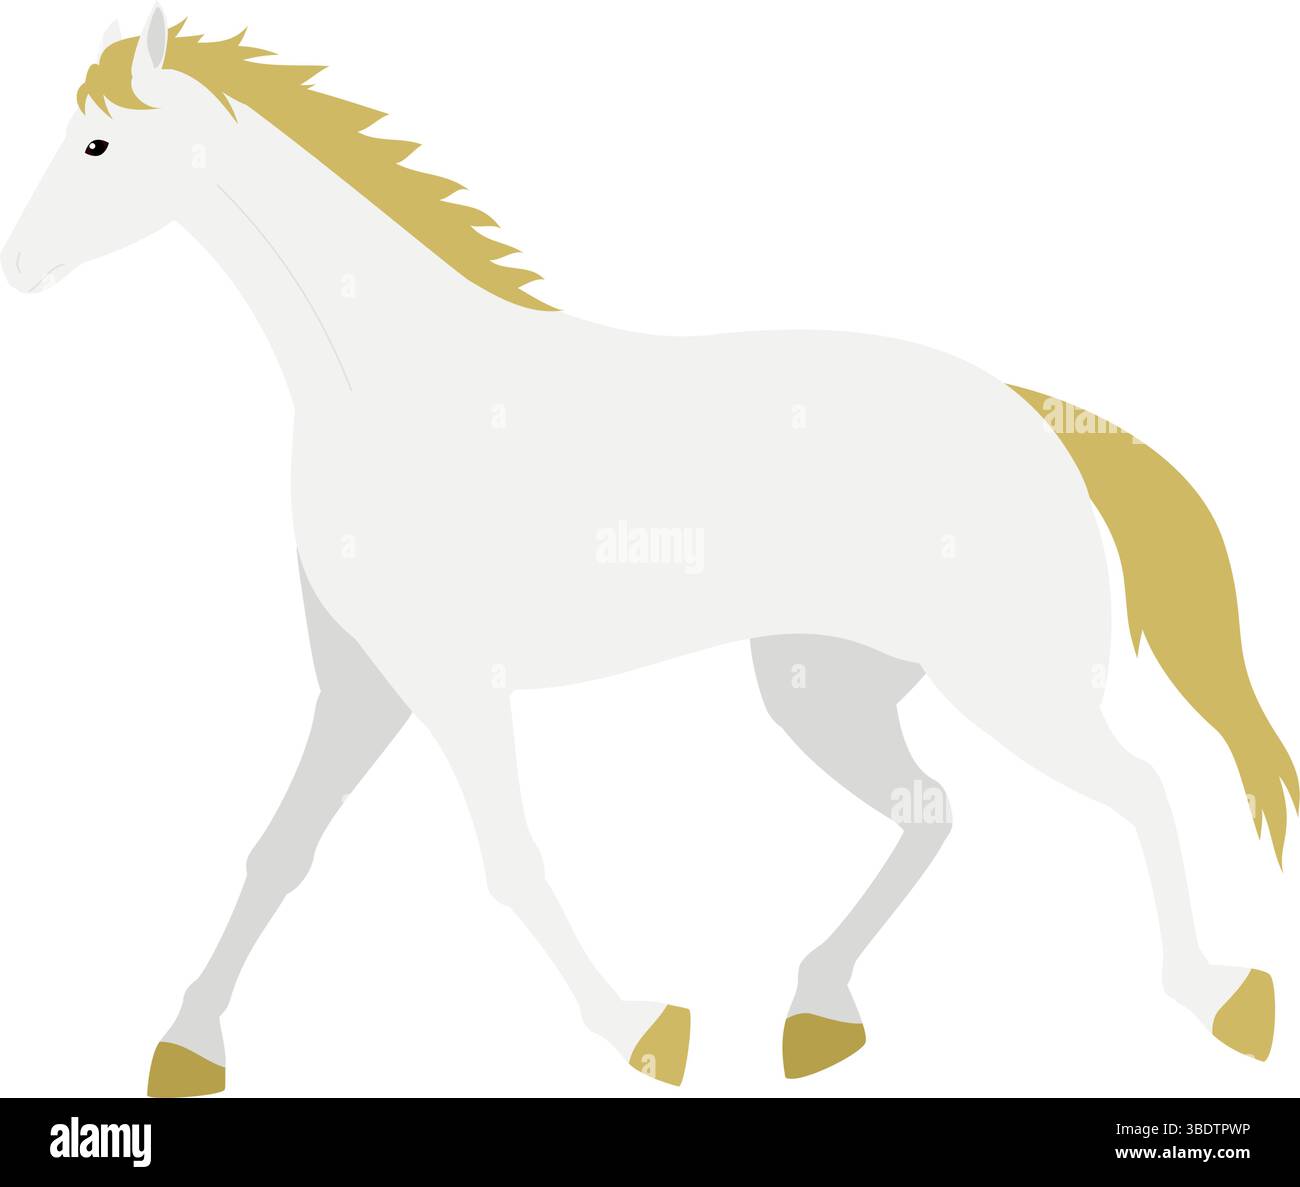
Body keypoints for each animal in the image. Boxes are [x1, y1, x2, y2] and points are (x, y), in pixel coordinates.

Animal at [3, 8, 1293, 1094]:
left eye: (100, 142)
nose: (22, 267)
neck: (396, 384)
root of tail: (1034, 414)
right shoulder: (364, 682)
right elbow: (278, 848)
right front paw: (185, 1046)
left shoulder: (456, 686)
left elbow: (510, 860)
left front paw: (642, 1027)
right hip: (820, 684)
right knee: (932, 808)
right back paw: (818, 1014)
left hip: (1011, 681)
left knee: (1138, 787)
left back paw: (1224, 998)